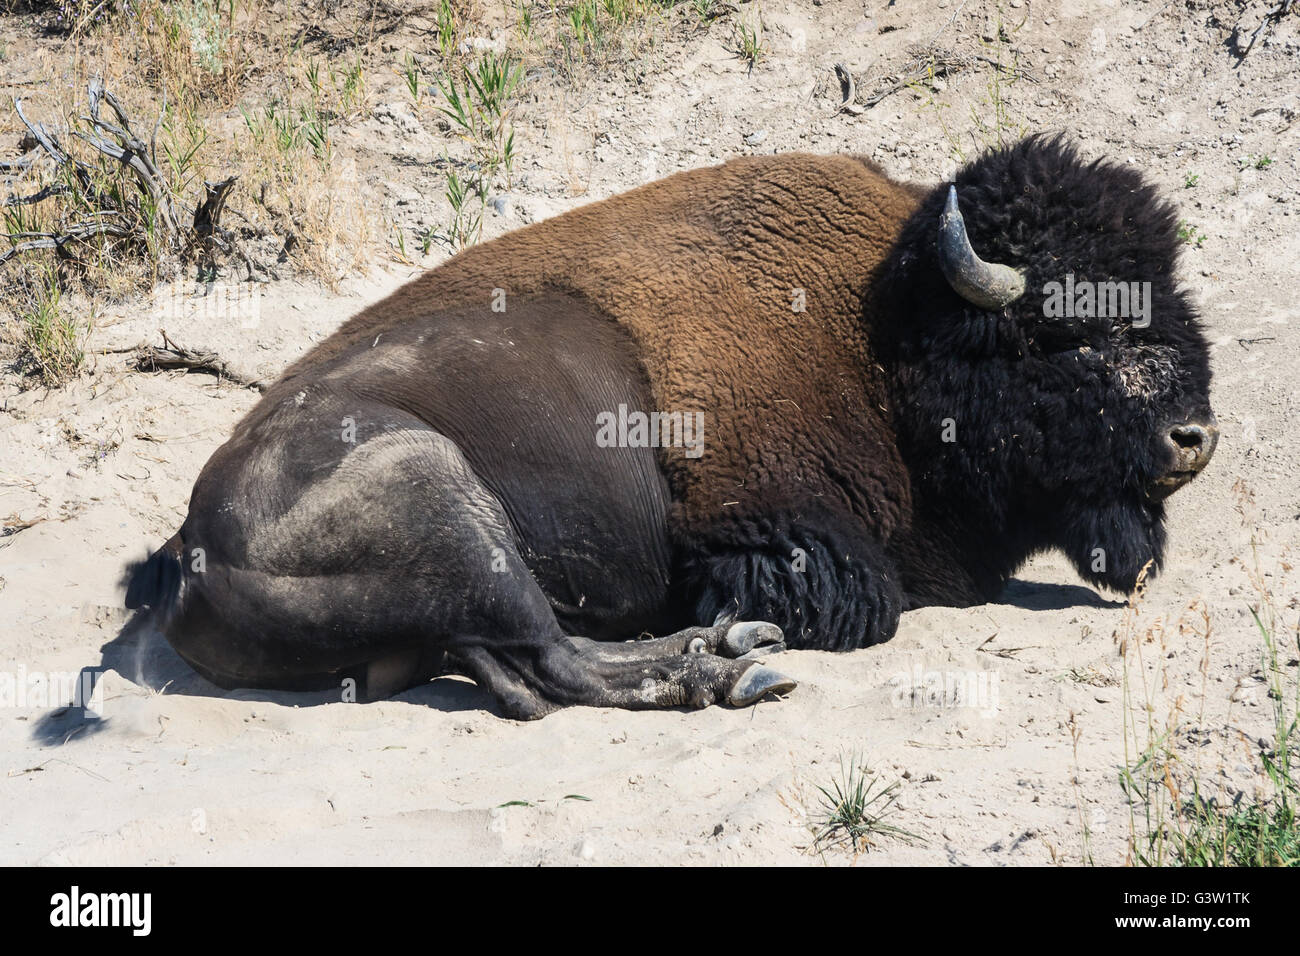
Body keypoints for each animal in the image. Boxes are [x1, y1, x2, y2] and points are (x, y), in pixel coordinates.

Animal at [125, 135, 1217, 718]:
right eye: (1062, 334)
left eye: (1167, 291)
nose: (1192, 437)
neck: (880, 331)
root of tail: (183, 548)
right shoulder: (775, 533)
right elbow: (864, 600)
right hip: (439, 493)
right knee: (548, 654)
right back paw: (726, 667)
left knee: (519, 660)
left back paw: (724, 647)